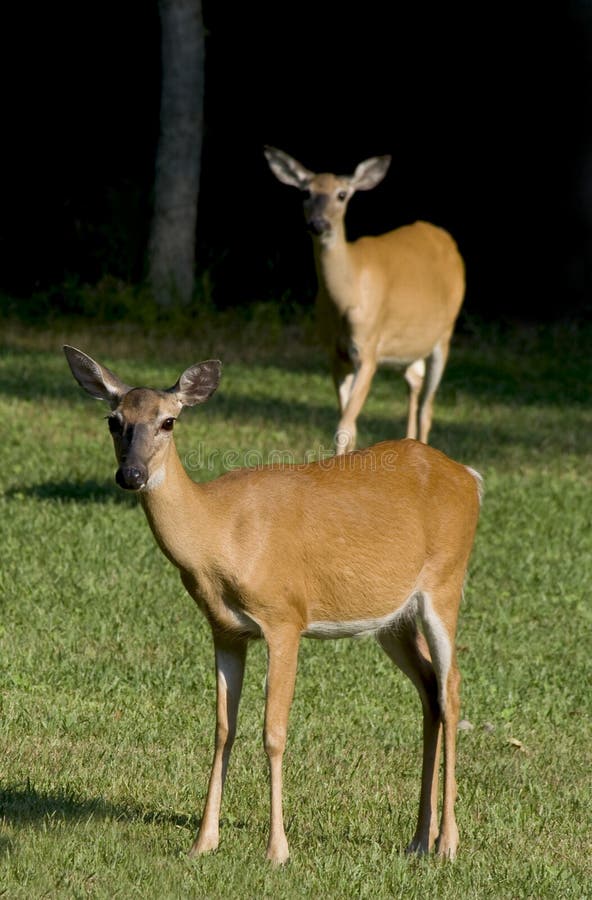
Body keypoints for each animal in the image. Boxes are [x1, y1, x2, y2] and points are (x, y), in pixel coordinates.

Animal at [63, 345, 482, 864]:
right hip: (393, 617)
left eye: (168, 422)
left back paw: (447, 842)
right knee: (430, 690)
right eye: (113, 419)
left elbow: (274, 733)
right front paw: (203, 841)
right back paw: (418, 839)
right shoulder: (224, 629)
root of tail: (471, 478)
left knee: (452, 686)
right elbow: (223, 729)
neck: (219, 538)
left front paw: (277, 849)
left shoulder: (285, 617)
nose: (131, 475)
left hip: (445, 582)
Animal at [264, 147, 466, 454]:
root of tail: (445, 239)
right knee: (414, 382)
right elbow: (350, 425)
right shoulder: (335, 354)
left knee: (427, 409)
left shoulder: (368, 350)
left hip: (444, 335)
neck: (348, 295)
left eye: (342, 194)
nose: (318, 224)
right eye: (305, 192)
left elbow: (344, 428)